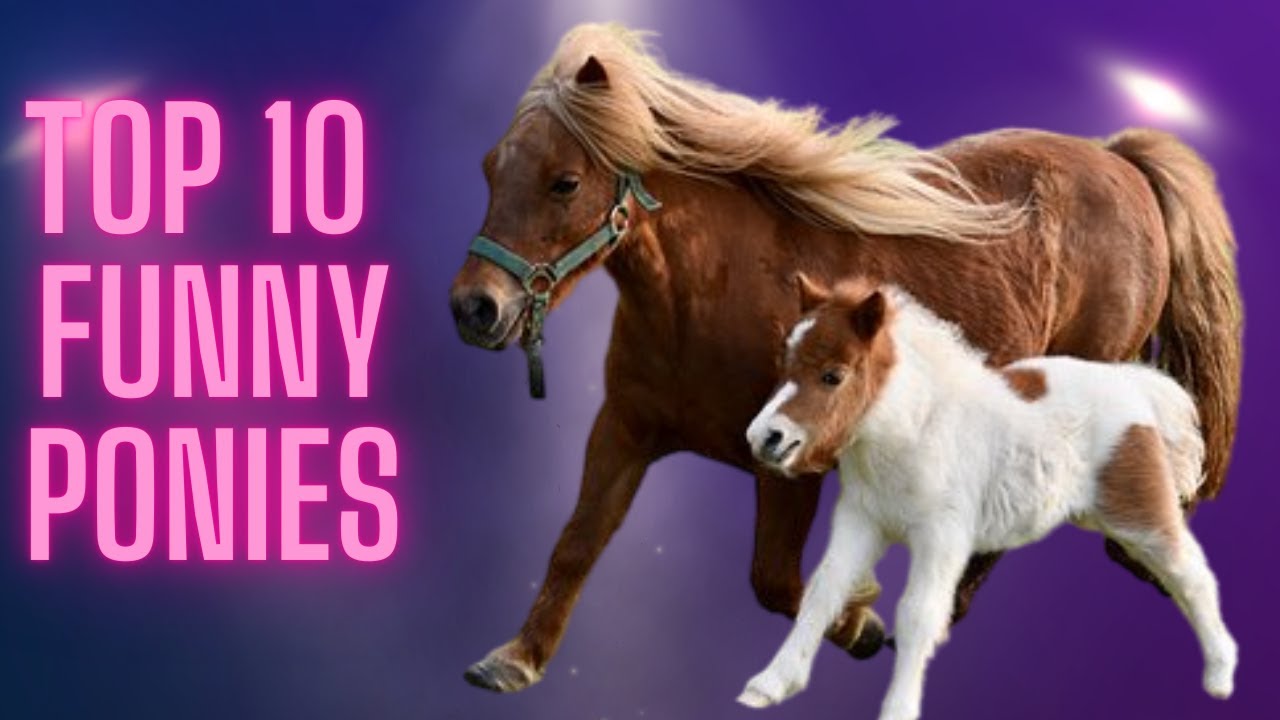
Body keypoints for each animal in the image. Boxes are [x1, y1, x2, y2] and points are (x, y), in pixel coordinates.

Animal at [737, 278, 1237, 719]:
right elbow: (823, 591)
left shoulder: (942, 536)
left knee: (1191, 575)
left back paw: (1220, 673)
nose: (764, 438)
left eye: (832, 376)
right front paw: (770, 684)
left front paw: (898, 709)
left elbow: (917, 615)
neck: (915, 430)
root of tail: (1135, 385)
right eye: (784, 365)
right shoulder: (862, 521)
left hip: (1139, 513)